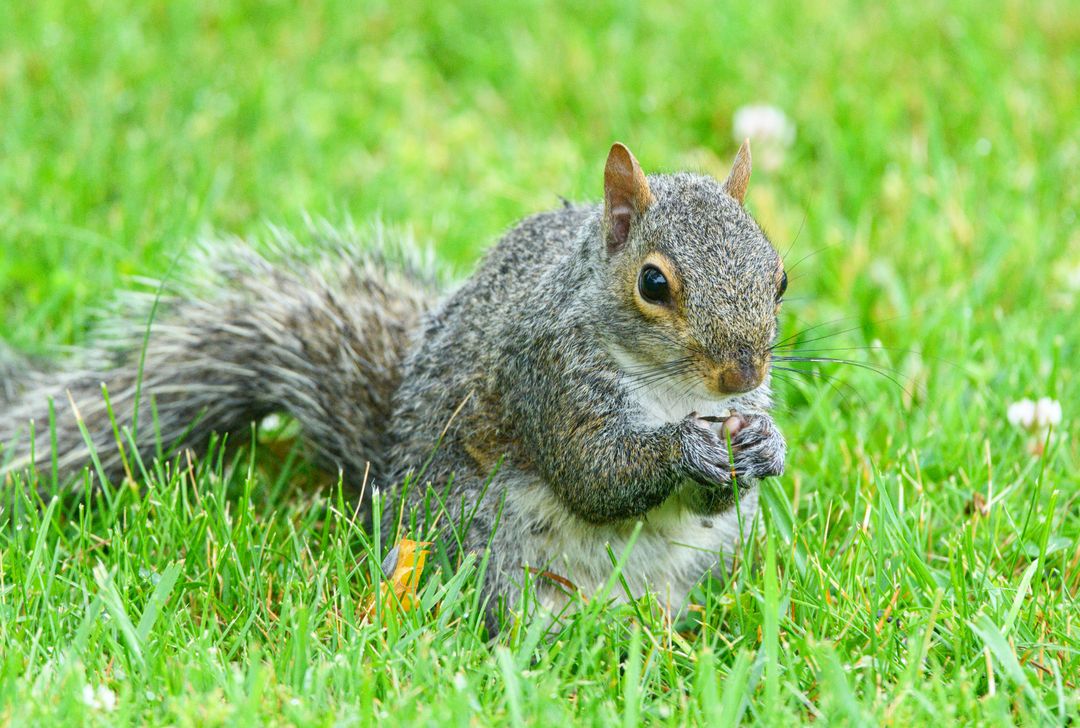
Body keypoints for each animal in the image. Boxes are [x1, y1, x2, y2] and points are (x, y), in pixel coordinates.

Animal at [1, 142, 787, 628]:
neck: (672, 388)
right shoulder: (545, 376)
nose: (743, 372)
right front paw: (686, 449)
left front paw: (765, 446)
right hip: (487, 541)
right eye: (653, 284)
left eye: (779, 278)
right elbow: (593, 473)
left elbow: (717, 491)